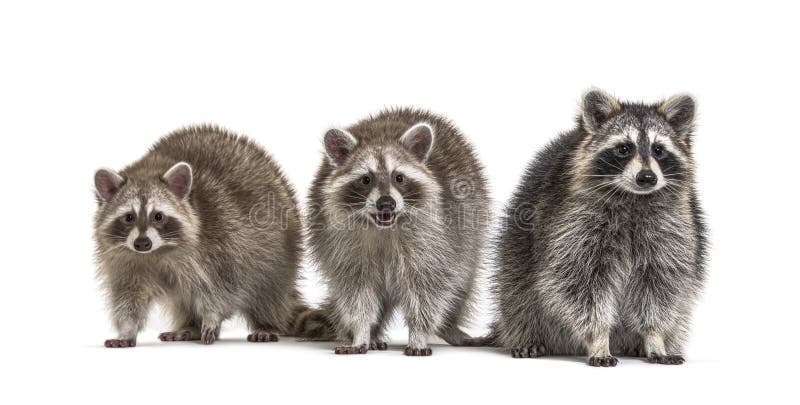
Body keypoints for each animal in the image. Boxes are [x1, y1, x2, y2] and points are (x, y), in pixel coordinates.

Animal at [94, 125, 305, 347]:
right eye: (129, 217)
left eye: (158, 216)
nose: (142, 243)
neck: (158, 252)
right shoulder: (124, 261)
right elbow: (128, 297)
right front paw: (126, 330)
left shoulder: (223, 238)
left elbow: (223, 286)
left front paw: (211, 316)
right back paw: (190, 326)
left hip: (279, 253)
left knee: (268, 292)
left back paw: (266, 323)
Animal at [298, 108, 489, 356]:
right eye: (366, 179)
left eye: (399, 177)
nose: (386, 203)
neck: (384, 228)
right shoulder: (341, 245)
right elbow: (356, 293)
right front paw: (361, 332)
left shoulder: (437, 239)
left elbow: (428, 290)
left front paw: (418, 333)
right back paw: (373, 335)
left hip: (469, 236)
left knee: (461, 284)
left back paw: (450, 327)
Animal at [491, 89, 707, 366]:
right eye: (623, 148)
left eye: (659, 150)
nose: (647, 178)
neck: (633, 198)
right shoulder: (572, 223)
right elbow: (580, 285)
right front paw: (599, 338)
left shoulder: (672, 228)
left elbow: (662, 287)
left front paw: (654, 337)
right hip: (516, 252)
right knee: (517, 292)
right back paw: (528, 335)